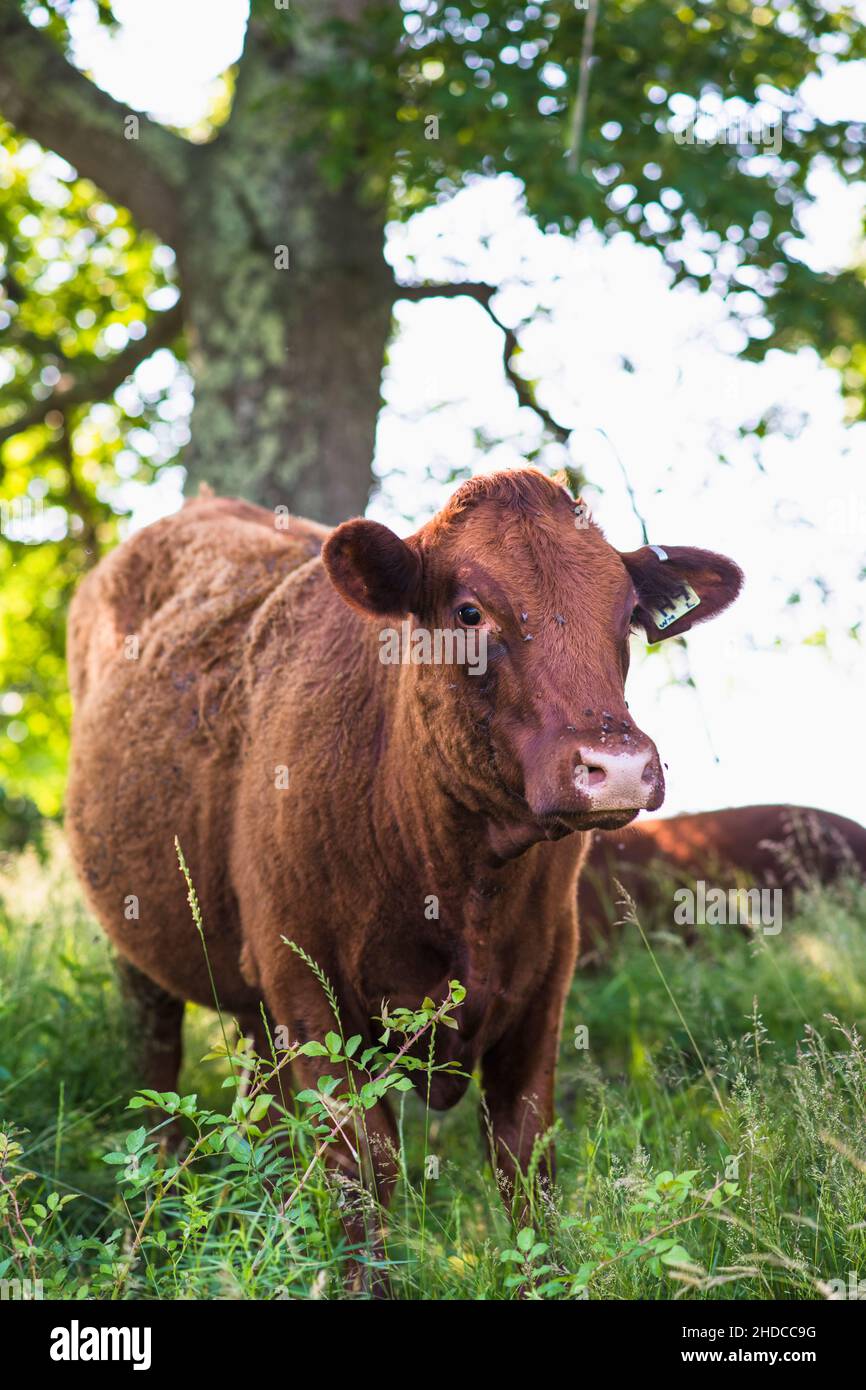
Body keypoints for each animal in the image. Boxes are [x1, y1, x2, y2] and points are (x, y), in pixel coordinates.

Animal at [66, 468, 742, 1269]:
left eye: (628, 612)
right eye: (469, 611)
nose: (620, 768)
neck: (461, 878)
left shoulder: (543, 986)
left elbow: (525, 1163)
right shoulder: (310, 994)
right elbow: (362, 1173)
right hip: (144, 953)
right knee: (158, 1072)